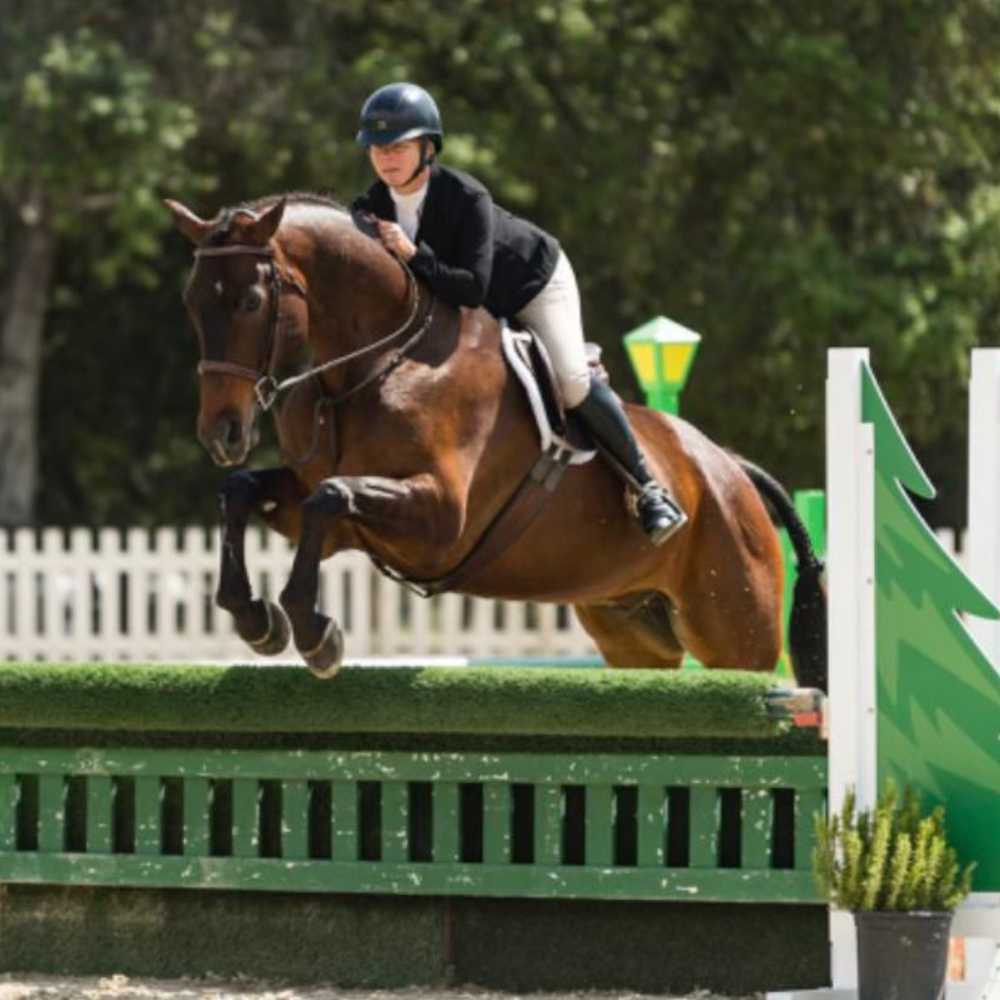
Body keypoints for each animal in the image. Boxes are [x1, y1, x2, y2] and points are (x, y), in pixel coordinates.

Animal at [166, 193, 827, 689]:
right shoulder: (332, 519)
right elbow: (246, 491)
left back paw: (660, 509)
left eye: (252, 301)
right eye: (191, 303)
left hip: (738, 631)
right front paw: (258, 618)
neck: (372, 366)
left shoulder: (439, 521)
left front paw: (314, 633)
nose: (222, 432)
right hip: (632, 631)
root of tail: (731, 470)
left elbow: (330, 496)